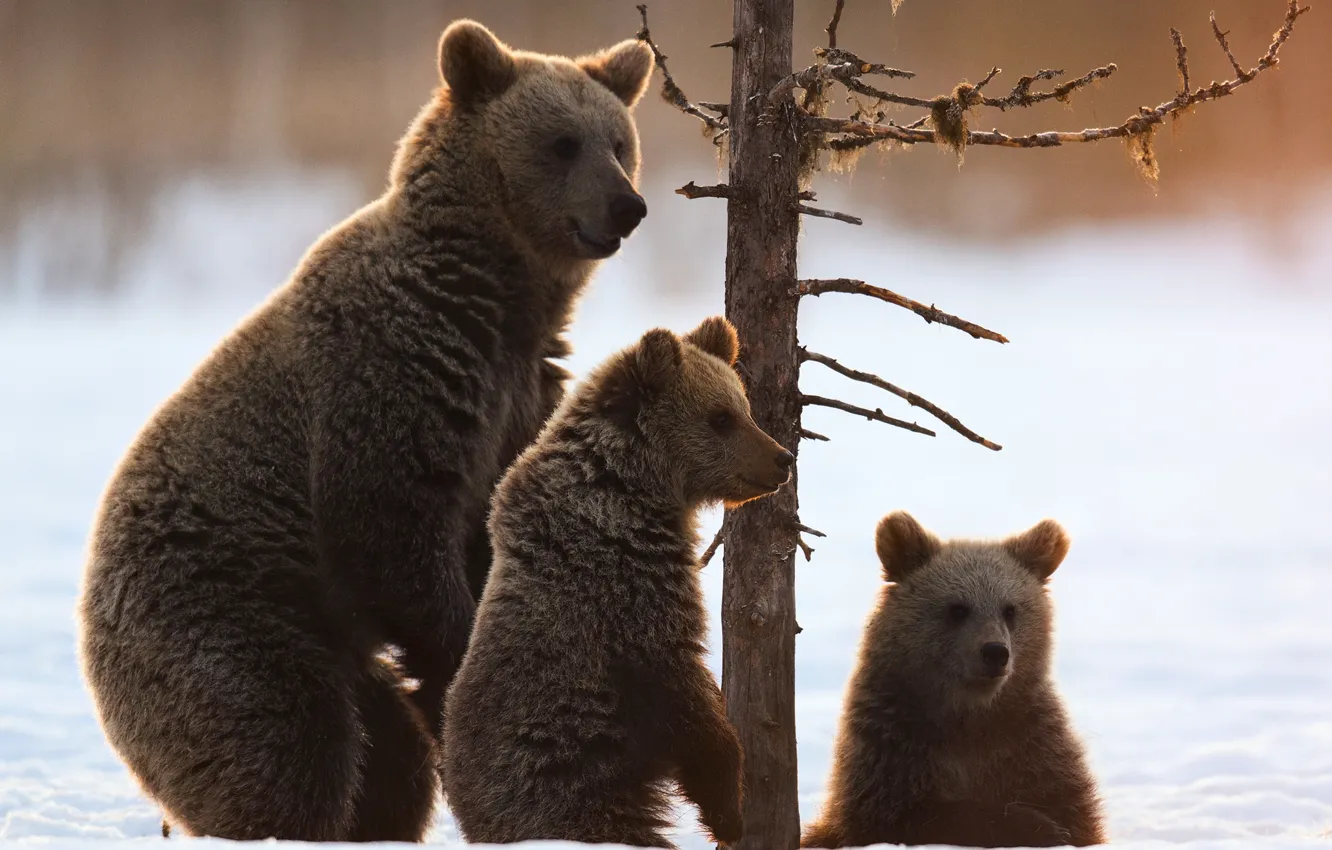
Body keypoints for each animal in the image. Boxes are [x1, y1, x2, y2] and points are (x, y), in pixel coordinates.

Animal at [76, 20, 654, 843]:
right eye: (562, 143)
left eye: (619, 141)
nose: (626, 206)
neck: (495, 296)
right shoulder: (393, 373)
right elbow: (391, 527)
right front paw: (465, 659)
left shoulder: (517, 396)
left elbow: (491, 530)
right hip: (225, 616)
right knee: (286, 739)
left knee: (384, 759)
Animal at [441, 316, 794, 848]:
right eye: (721, 417)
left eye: (745, 409)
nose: (783, 458)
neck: (630, 492)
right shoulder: (626, 593)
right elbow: (682, 692)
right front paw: (729, 809)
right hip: (565, 789)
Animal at [801, 511, 1105, 849]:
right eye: (958, 608)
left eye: (1010, 609)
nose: (995, 652)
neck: (967, 717)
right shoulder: (891, 750)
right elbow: (912, 815)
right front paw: (1036, 826)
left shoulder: (1031, 746)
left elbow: (1072, 809)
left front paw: (1052, 827)